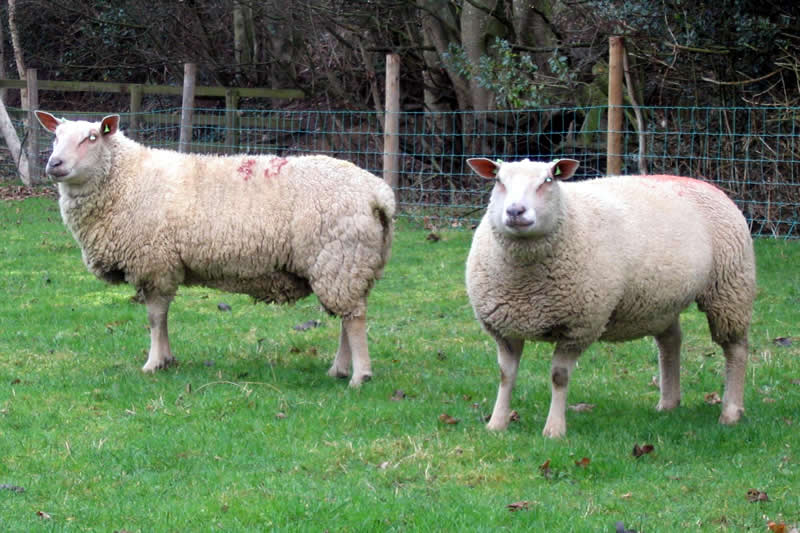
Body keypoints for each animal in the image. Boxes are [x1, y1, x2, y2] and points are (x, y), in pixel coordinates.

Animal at [35, 110, 395, 387]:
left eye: (92, 137)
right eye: (55, 136)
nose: (55, 163)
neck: (125, 178)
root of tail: (379, 194)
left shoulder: (155, 263)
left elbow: (154, 317)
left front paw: (153, 363)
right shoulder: (165, 266)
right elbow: (163, 317)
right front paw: (168, 359)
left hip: (339, 259)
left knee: (354, 320)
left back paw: (359, 376)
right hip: (352, 263)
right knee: (349, 316)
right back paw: (339, 369)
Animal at [465, 157, 756, 438]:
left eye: (548, 180)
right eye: (499, 180)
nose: (515, 211)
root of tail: (707, 185)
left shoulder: (579, 327)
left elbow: (559, 377)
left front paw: (554, 430)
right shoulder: (504, 327)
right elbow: (506, 375)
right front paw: (496, 424)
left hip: (730, 288)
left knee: (736, 349)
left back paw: (730, 412)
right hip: (661, 300)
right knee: (671, 341)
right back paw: (668, 403)